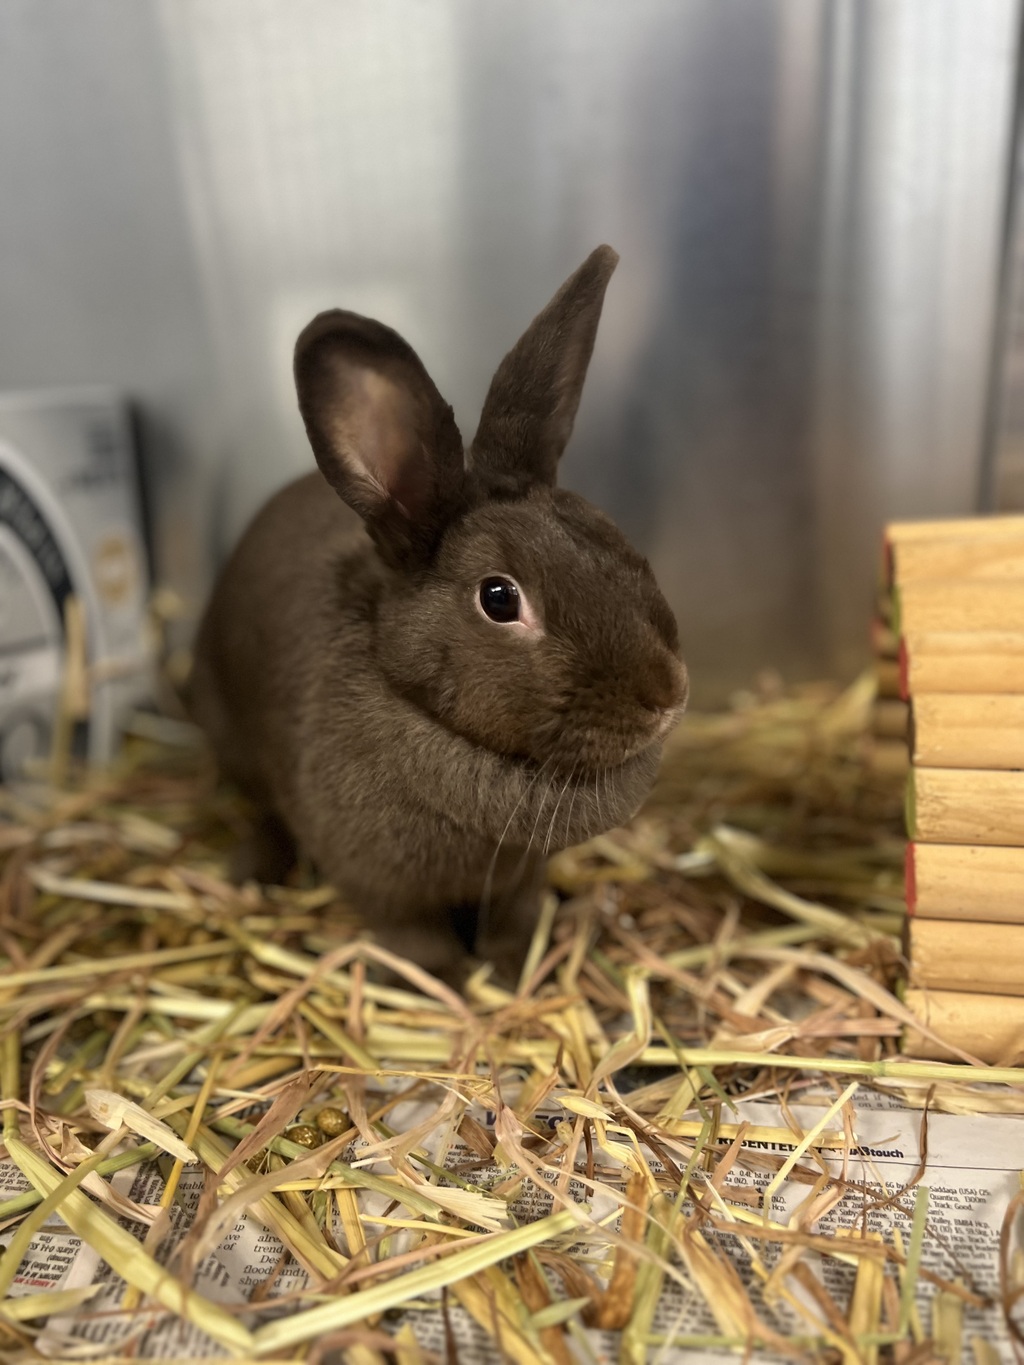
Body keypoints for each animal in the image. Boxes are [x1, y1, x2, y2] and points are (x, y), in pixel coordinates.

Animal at [188, 246, 688, 984]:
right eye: (499, 598)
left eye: (610, 533)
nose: (667, 694)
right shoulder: (380, 884)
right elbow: (415, 935)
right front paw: (444, 981)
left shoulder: (518, 879)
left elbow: (512, 916)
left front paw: (512, 966)